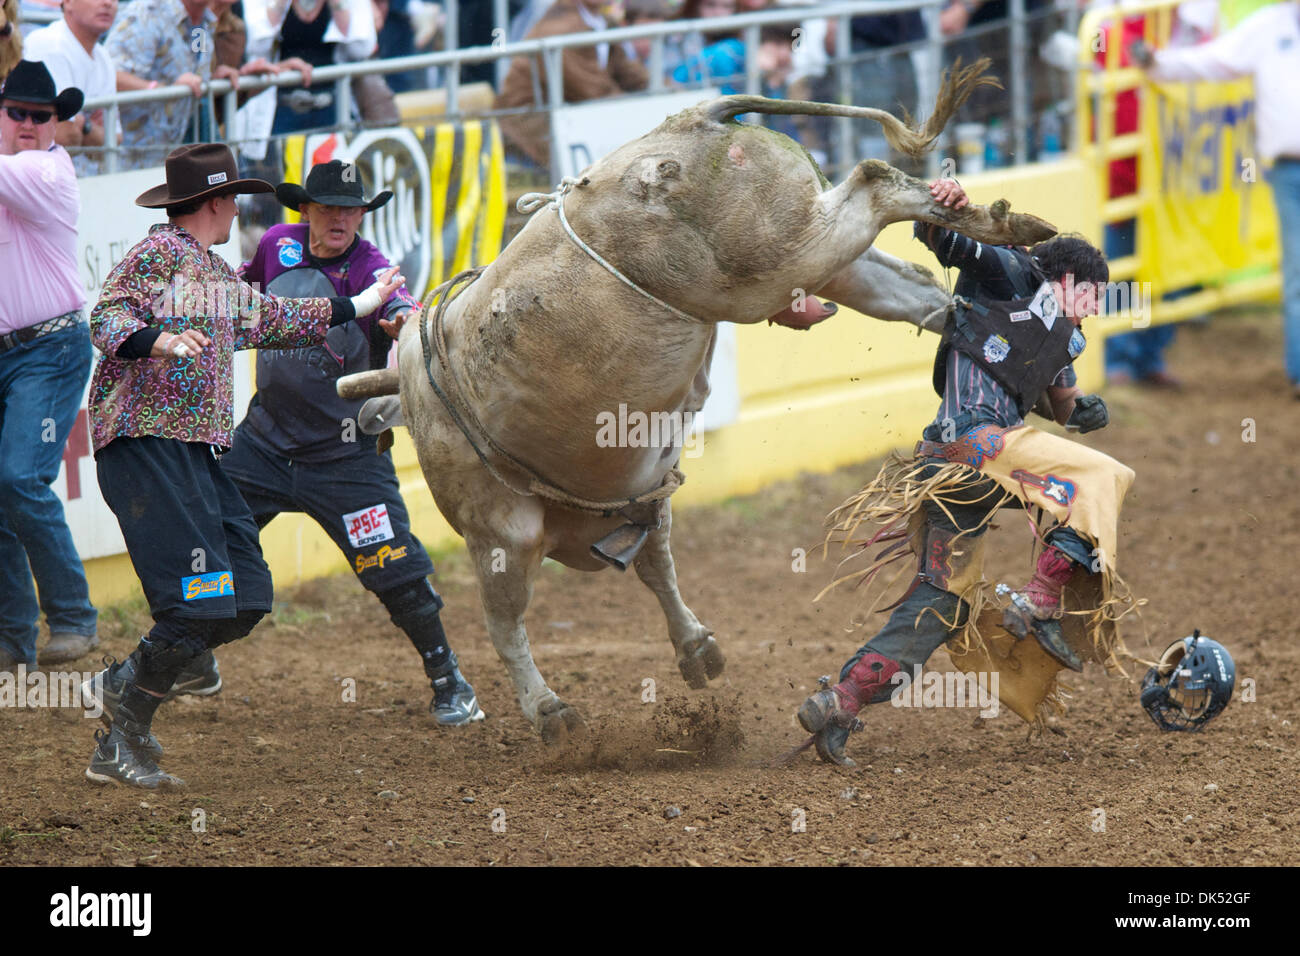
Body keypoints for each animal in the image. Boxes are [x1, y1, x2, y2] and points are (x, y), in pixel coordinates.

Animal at [339, 60, 1057, 743]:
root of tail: (691, 120)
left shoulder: (499, 535)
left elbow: (505, 620)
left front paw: (548, 711)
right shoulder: (640, 491)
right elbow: (656, 564)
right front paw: (696, 650)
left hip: (775, 261)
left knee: (877, 182)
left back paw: (1009, 235)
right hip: (814, 261)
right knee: (921, 291)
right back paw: (1034, 332)